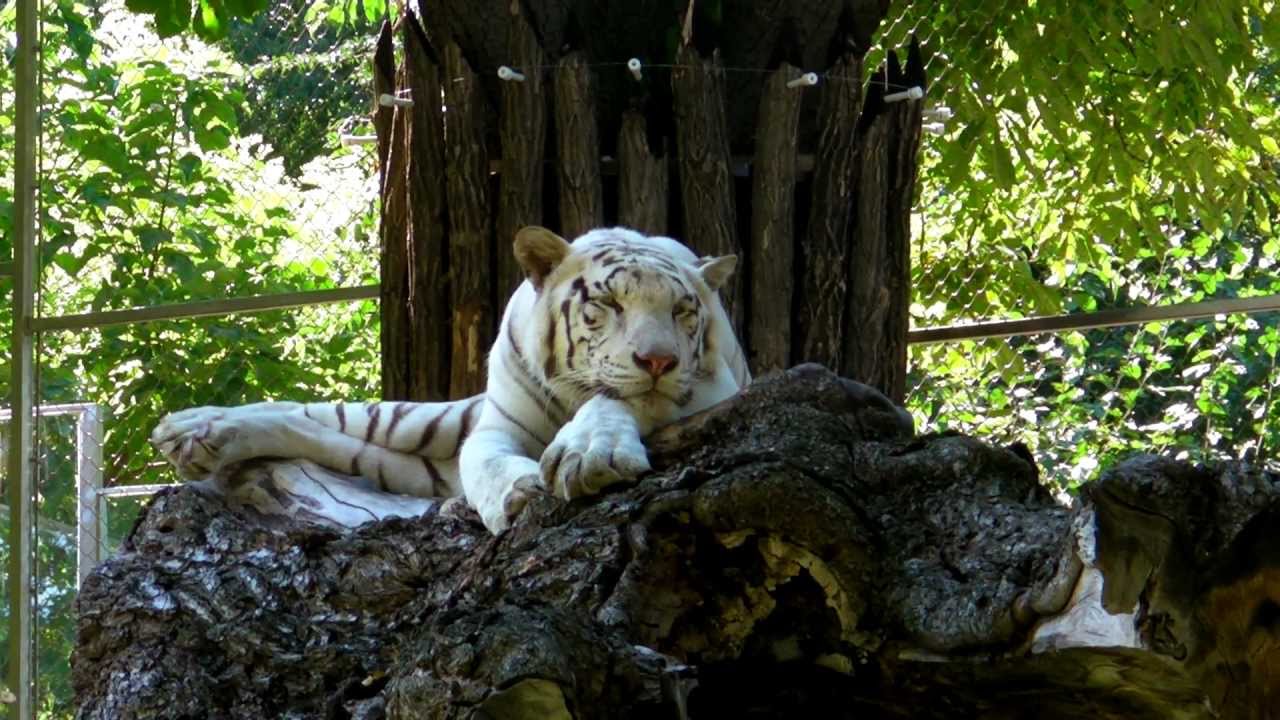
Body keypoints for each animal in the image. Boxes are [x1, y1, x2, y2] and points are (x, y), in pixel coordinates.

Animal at [151, 226, 749, 534]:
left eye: (682, 312)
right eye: (608, 303)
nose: (659, 361)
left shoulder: (710, 388)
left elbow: (614, 401)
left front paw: (588, 452)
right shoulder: (494, 426)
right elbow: (485, 461)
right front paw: (514, 495)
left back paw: (199, 439)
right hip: (419, 421)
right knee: (318, 413)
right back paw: (191, 430)